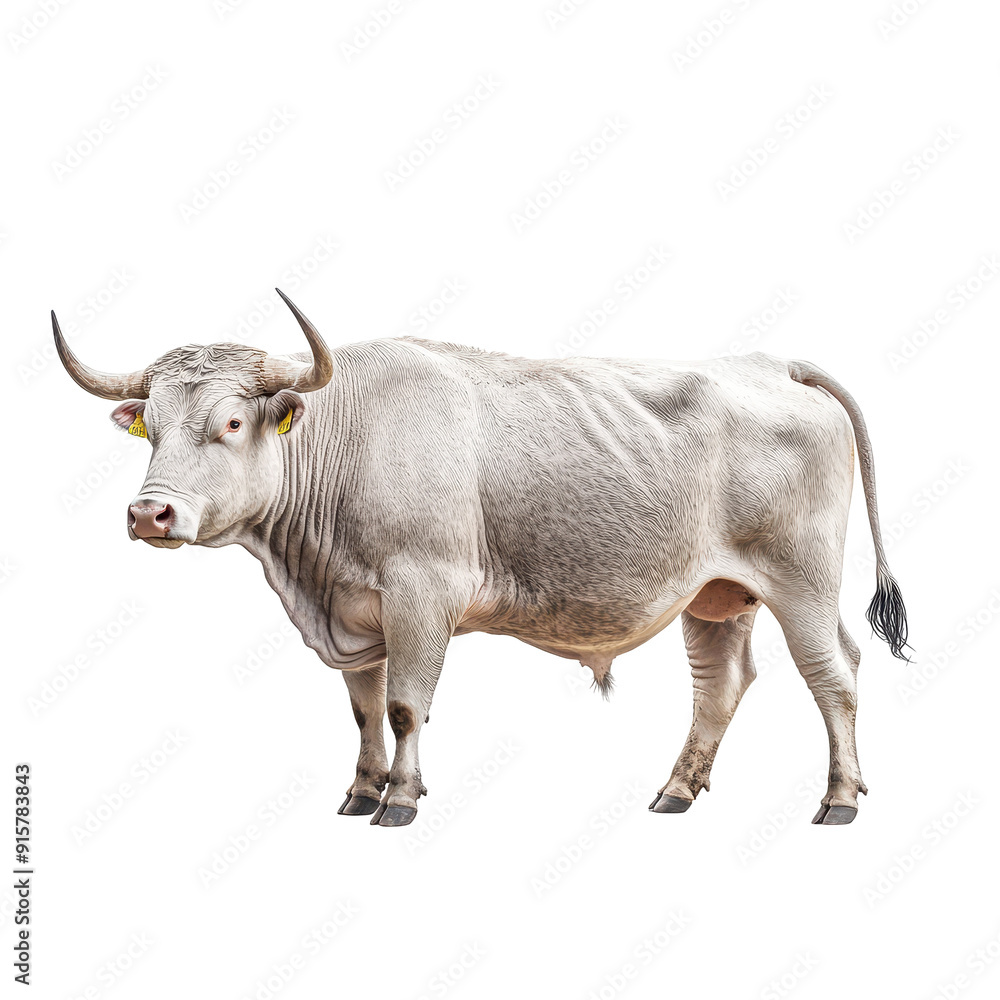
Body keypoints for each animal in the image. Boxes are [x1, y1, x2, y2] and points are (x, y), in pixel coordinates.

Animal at [52, 291, 908, 827]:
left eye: (232, 422)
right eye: (152, 424)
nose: (150, 512)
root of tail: (769, 363)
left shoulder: (422, 591)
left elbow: (406, 704)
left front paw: (399, 801)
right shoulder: (358, 611)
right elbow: (365, 707)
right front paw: (362, 791)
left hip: (801, 581)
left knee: (834, 673)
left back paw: (839, 799)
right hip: (716, 592)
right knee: (721, 683)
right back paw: (677, 790)